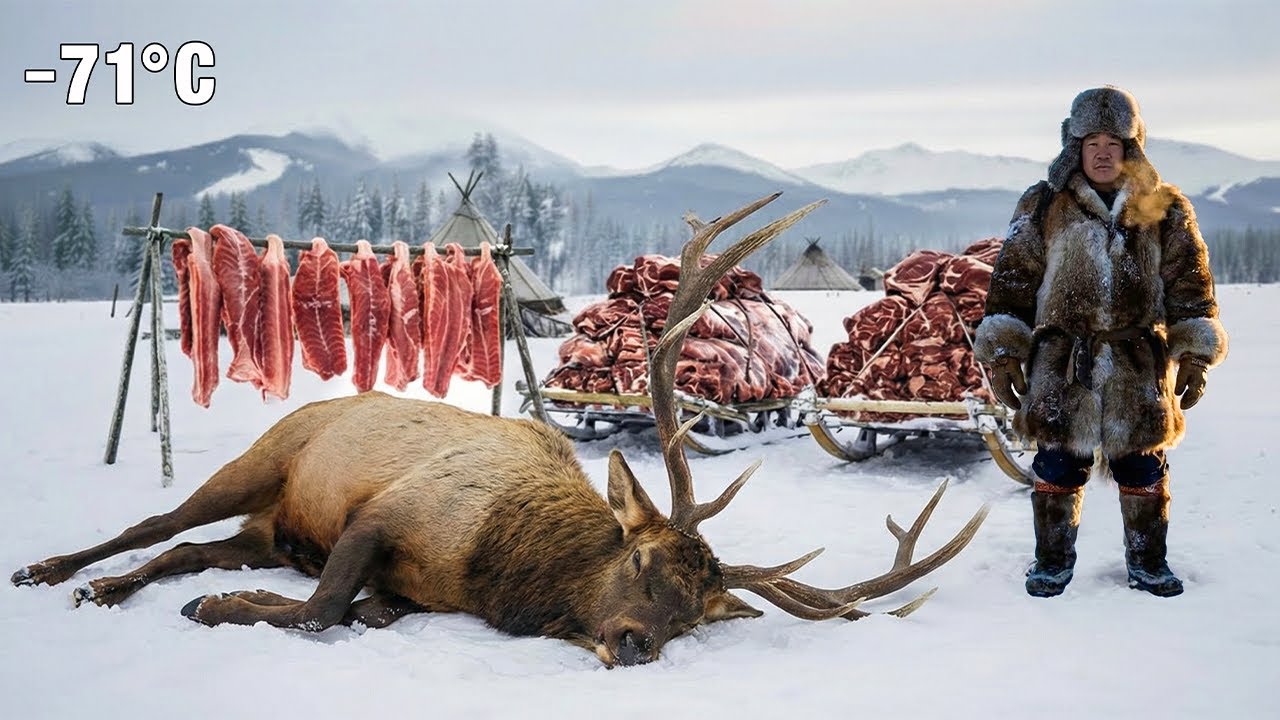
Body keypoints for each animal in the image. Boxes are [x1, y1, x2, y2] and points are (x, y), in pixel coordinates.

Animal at [11, 192, 989, 667]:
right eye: (641, 562)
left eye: (695, 617)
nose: (635, 645)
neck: (494, 573)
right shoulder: (380, 516)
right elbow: (321, 615)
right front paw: (219, 611)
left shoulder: (400, 588)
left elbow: (355, 615)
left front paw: (233, 603)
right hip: (265, 461)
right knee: (157, 523)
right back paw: (60, 574)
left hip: (271, 529)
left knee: (189, 548)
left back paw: (121, 587)